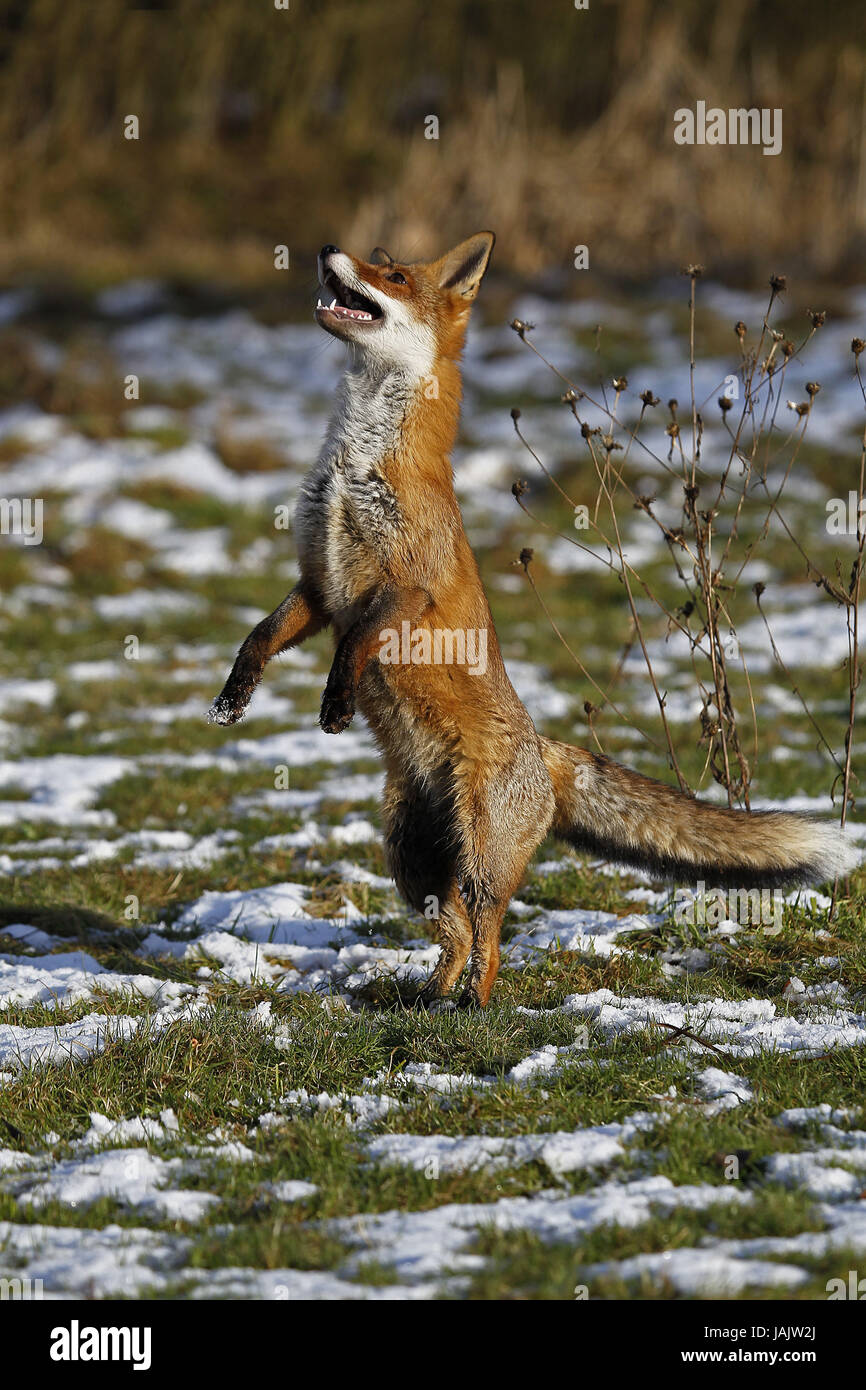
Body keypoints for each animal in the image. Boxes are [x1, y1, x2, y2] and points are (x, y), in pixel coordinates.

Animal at [210, 232, 857, 1007]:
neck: (354, 465)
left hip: (481, 860)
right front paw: (234, 694)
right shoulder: (319, 584)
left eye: (392, 275)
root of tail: (543, 750)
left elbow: (357, 644)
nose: (328, 247)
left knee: (491, 940)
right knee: (458, 933)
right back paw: (432, 999)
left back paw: (472, 1008)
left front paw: (335, 699)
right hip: (412, 861)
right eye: (376, 261)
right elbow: (260, 636)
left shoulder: (405, 588)